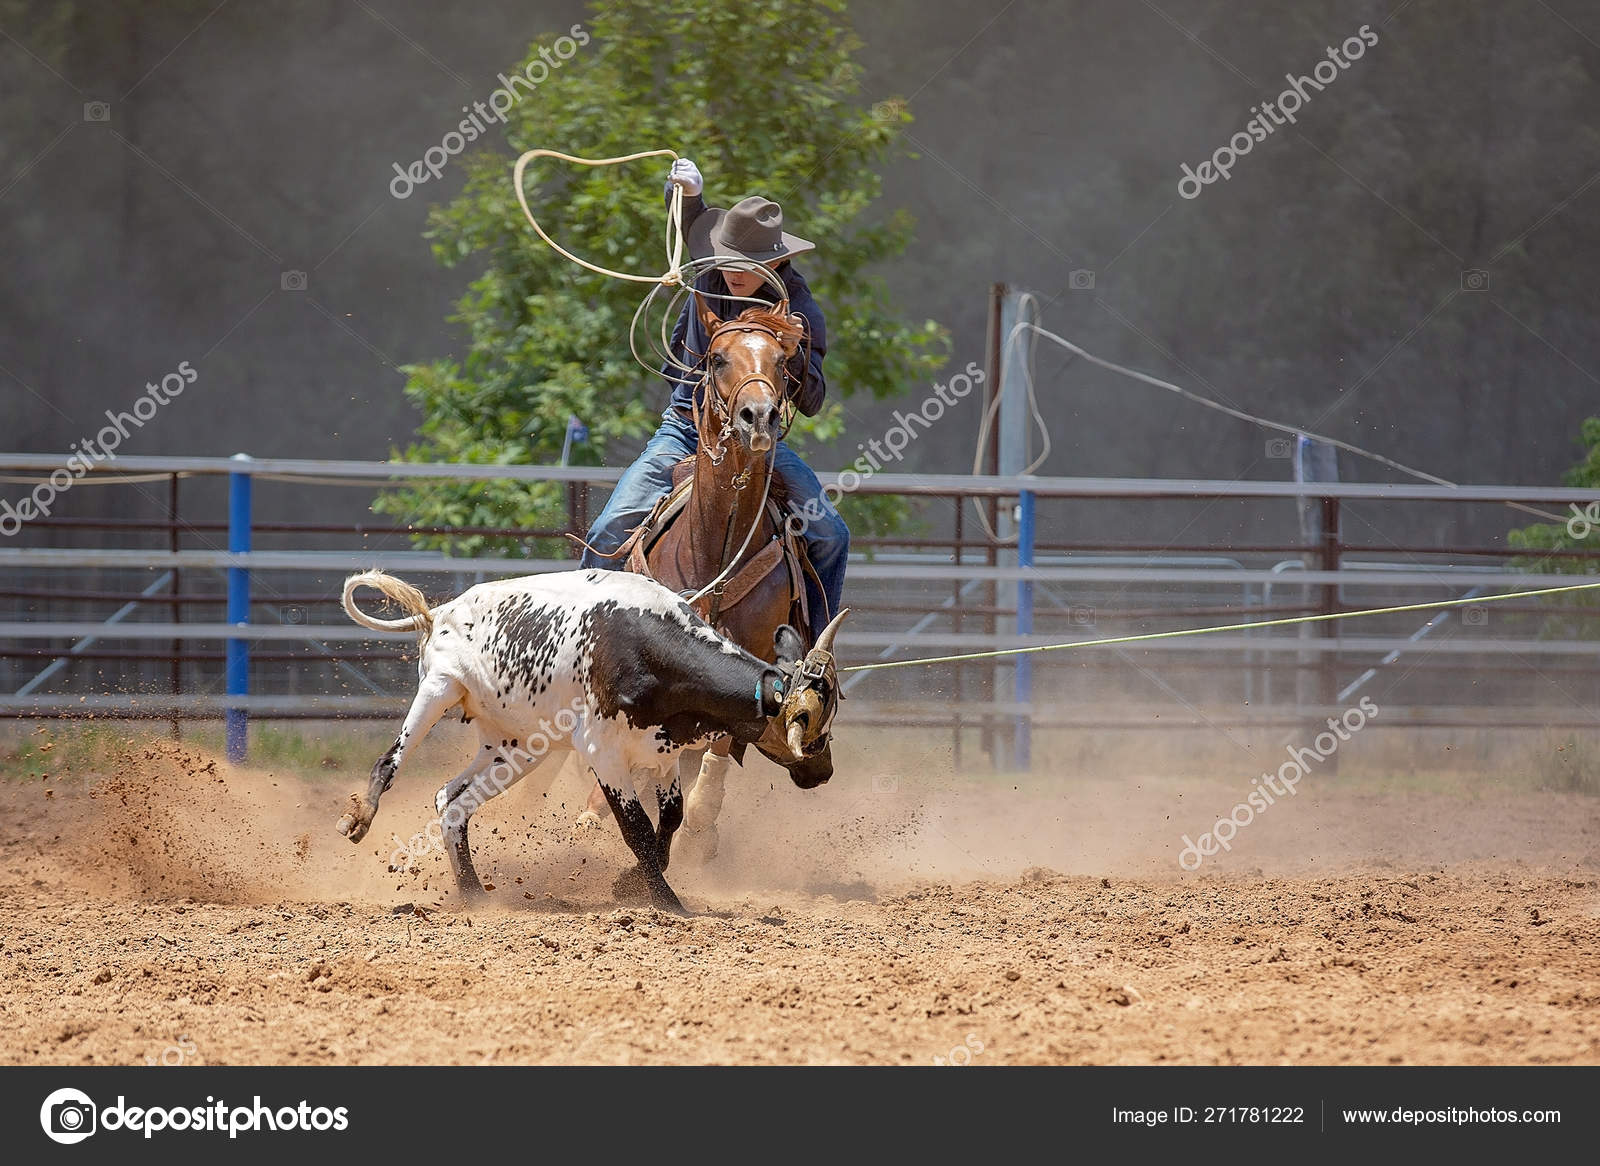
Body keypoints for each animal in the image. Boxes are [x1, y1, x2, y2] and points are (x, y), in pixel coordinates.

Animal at [334, 568, 846, 913]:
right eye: (811, 728)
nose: (825, 772)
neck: (647, 646)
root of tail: (443, 610)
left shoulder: (663, 754)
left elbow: (671, 819)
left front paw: (630, 884)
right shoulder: (604, 754)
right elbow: (636, 828)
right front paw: (666, 900)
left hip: (515, 746)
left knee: (451, 801)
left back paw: (475, 894)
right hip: (438, 690)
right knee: (390, 763)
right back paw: (359, 818)